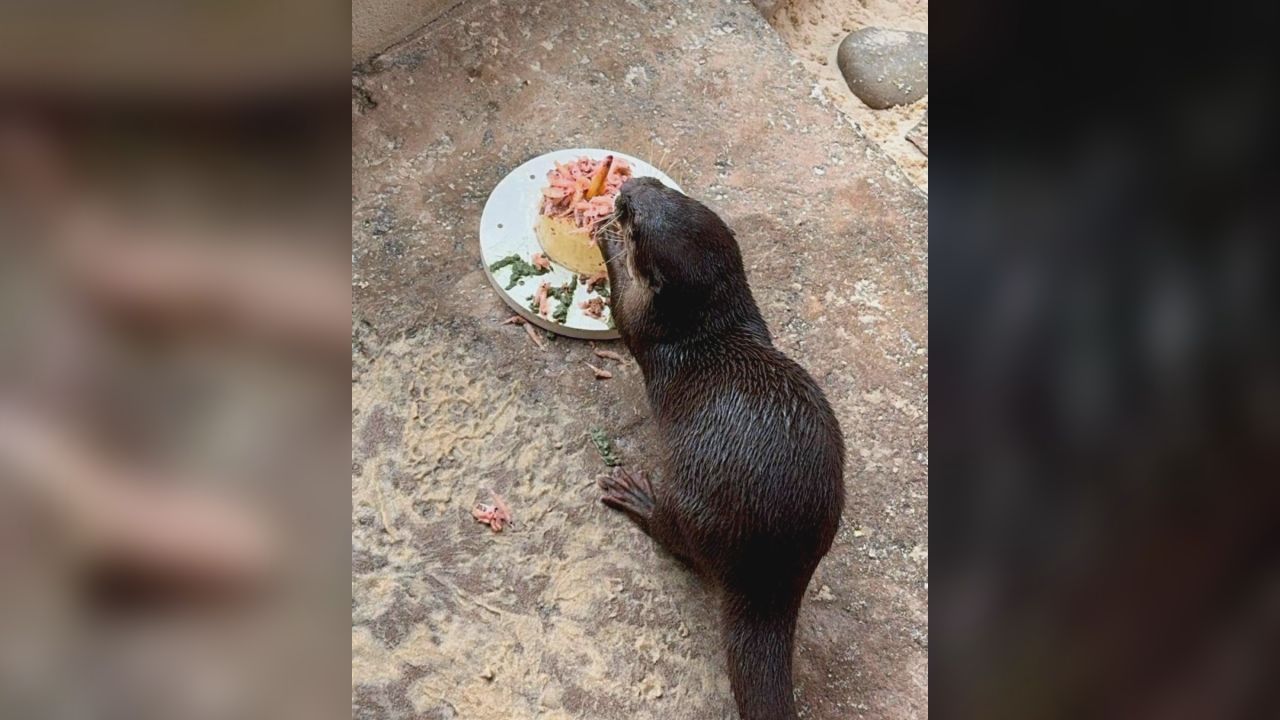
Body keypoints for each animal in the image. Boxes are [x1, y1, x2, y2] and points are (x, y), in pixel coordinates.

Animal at [594, 177, 845, 720]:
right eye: (659, 187)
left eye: (635, 219)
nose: (626, 188)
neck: (709, 328)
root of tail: (770, 574)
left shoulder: (646, 328)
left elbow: (622, 307)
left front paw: (602, 238)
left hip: (698, 506)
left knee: (673, 537)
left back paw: (638, 496)